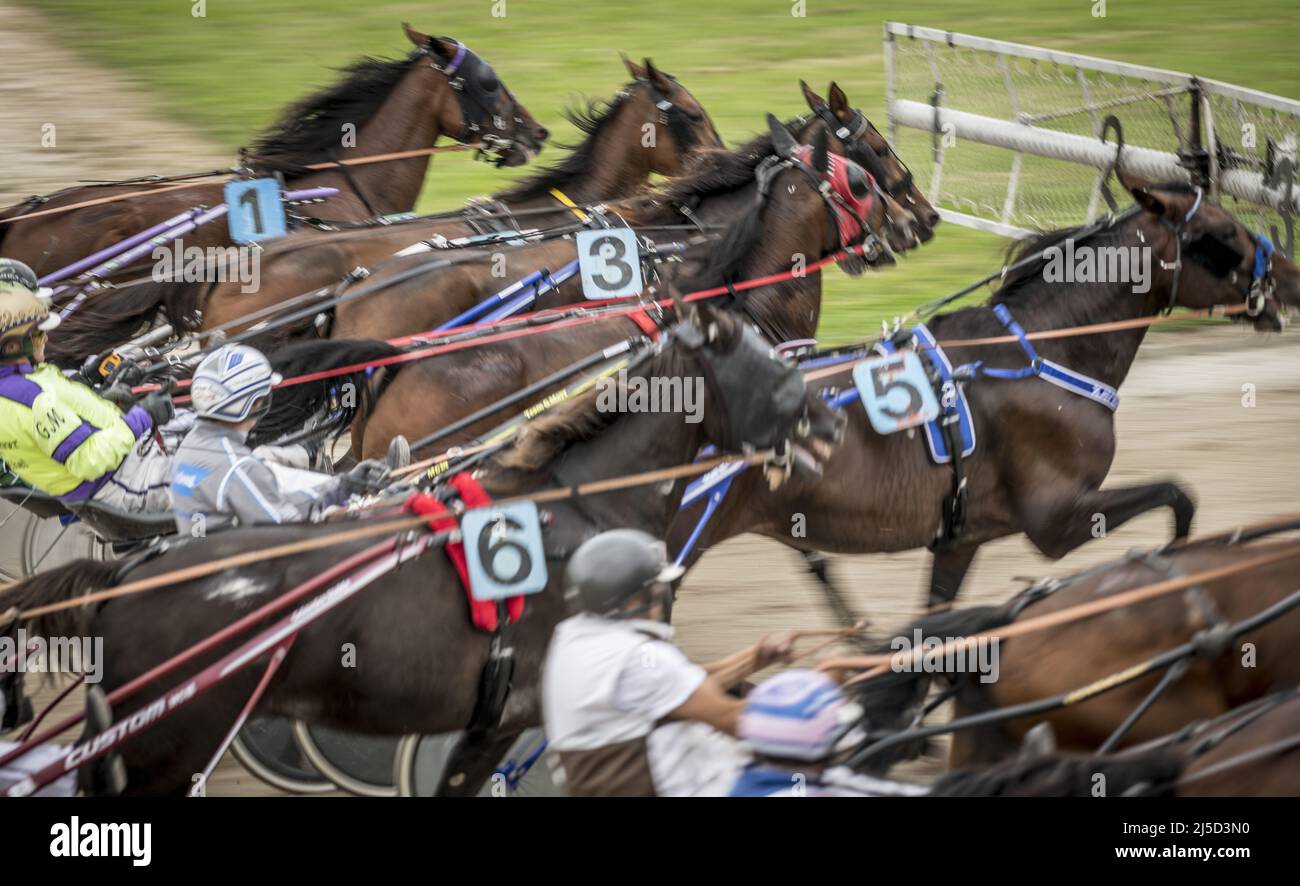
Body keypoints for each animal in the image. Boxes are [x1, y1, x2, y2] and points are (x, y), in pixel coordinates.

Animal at [0, 303, 845, 796]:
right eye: (773, 366)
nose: (835, 420)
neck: (575, 508)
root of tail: (119, 579)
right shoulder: (517, 713)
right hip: (171, 743)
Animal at [665, 179, 1300, 609]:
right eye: (1226, 234)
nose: (1291, 275)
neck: (1041, 350)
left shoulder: (960, 537)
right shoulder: (1057, 518)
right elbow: (1178, 494)